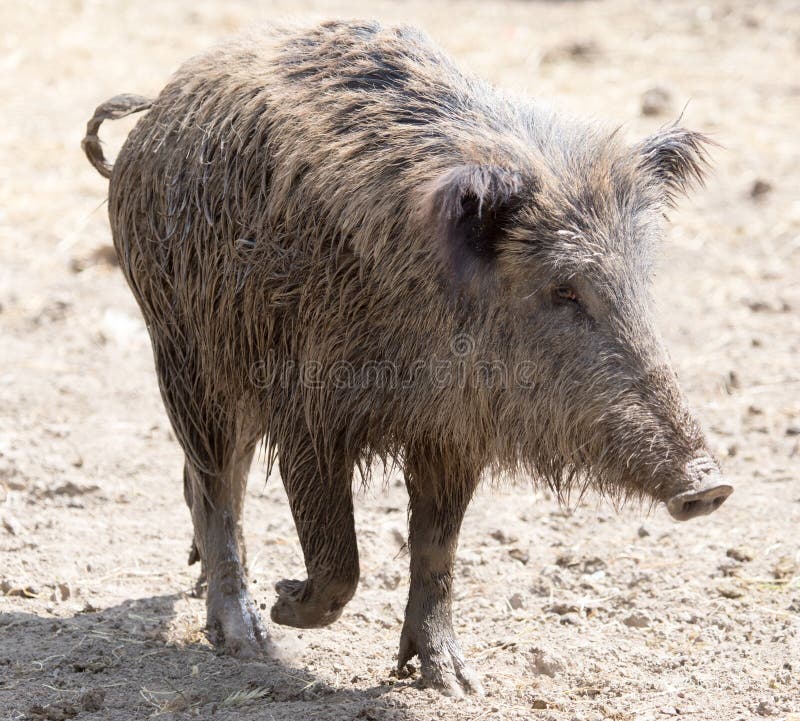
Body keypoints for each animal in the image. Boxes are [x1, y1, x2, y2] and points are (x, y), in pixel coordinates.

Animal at [82, 20, 732, 696]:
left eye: (639, 281)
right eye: (564, 290)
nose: (711, 485)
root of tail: (156, 107)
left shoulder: (453, 433)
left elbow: (437, 548)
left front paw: (455, 684)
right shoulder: (308, 410)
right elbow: (339, 556)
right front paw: (286, 605)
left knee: (202, 480)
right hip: (183, 349)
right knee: (216, 486)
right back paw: (247, 641)